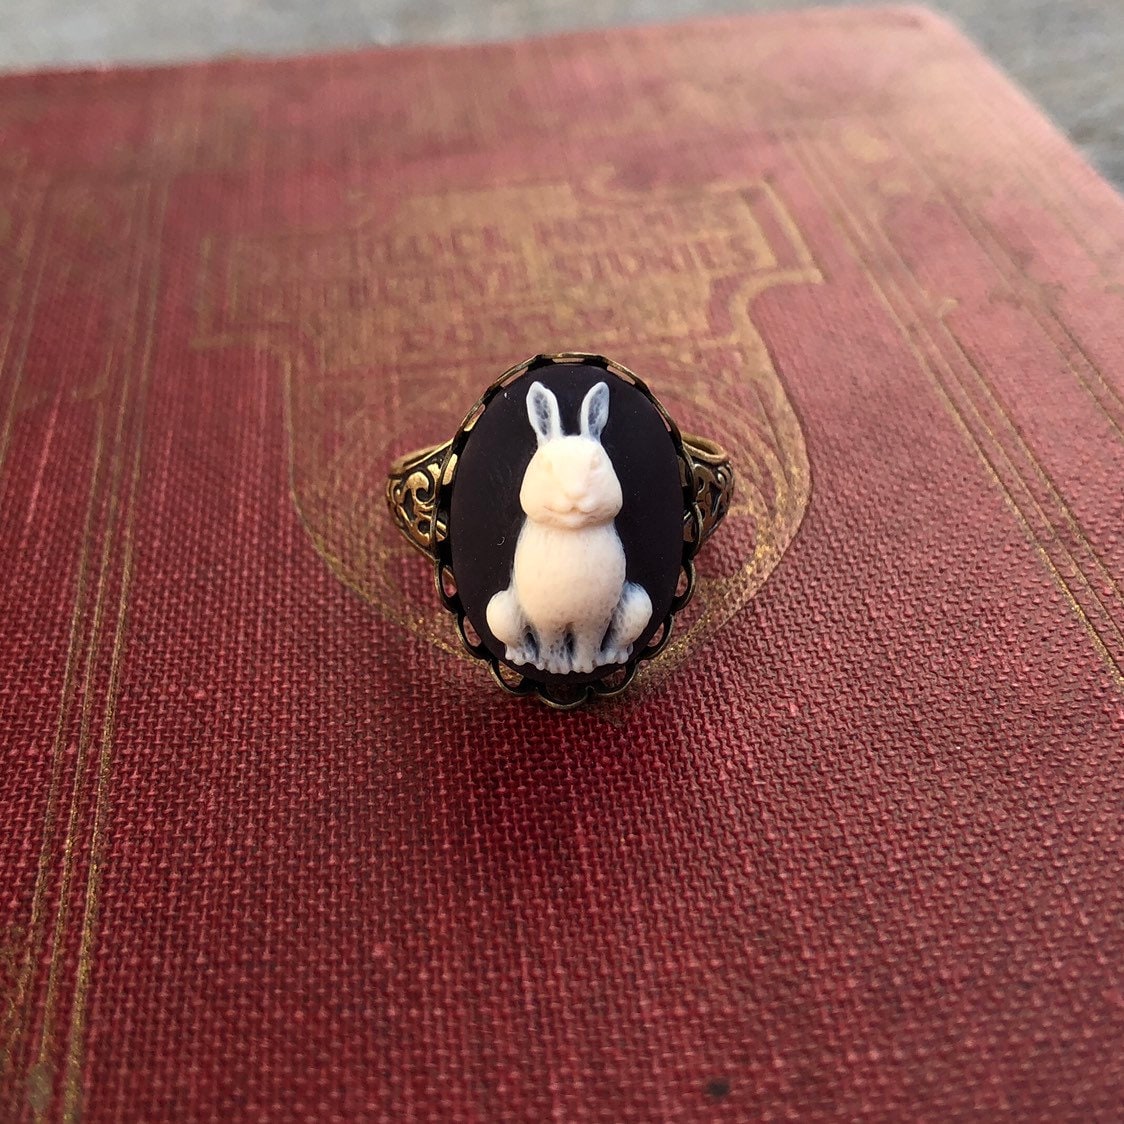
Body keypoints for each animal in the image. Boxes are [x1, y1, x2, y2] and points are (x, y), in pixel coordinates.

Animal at [486, 380, 653, 676]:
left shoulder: (595, 617)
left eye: (596, 463)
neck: (571, 531)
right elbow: (551, 641)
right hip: (501, 610)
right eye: (547, 465)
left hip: (638, 604)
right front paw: (556, 668)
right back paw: (525, 657)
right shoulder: (545, 617)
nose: (575, 495)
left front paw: (584, 667)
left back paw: (612, 657)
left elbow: (588, 641)